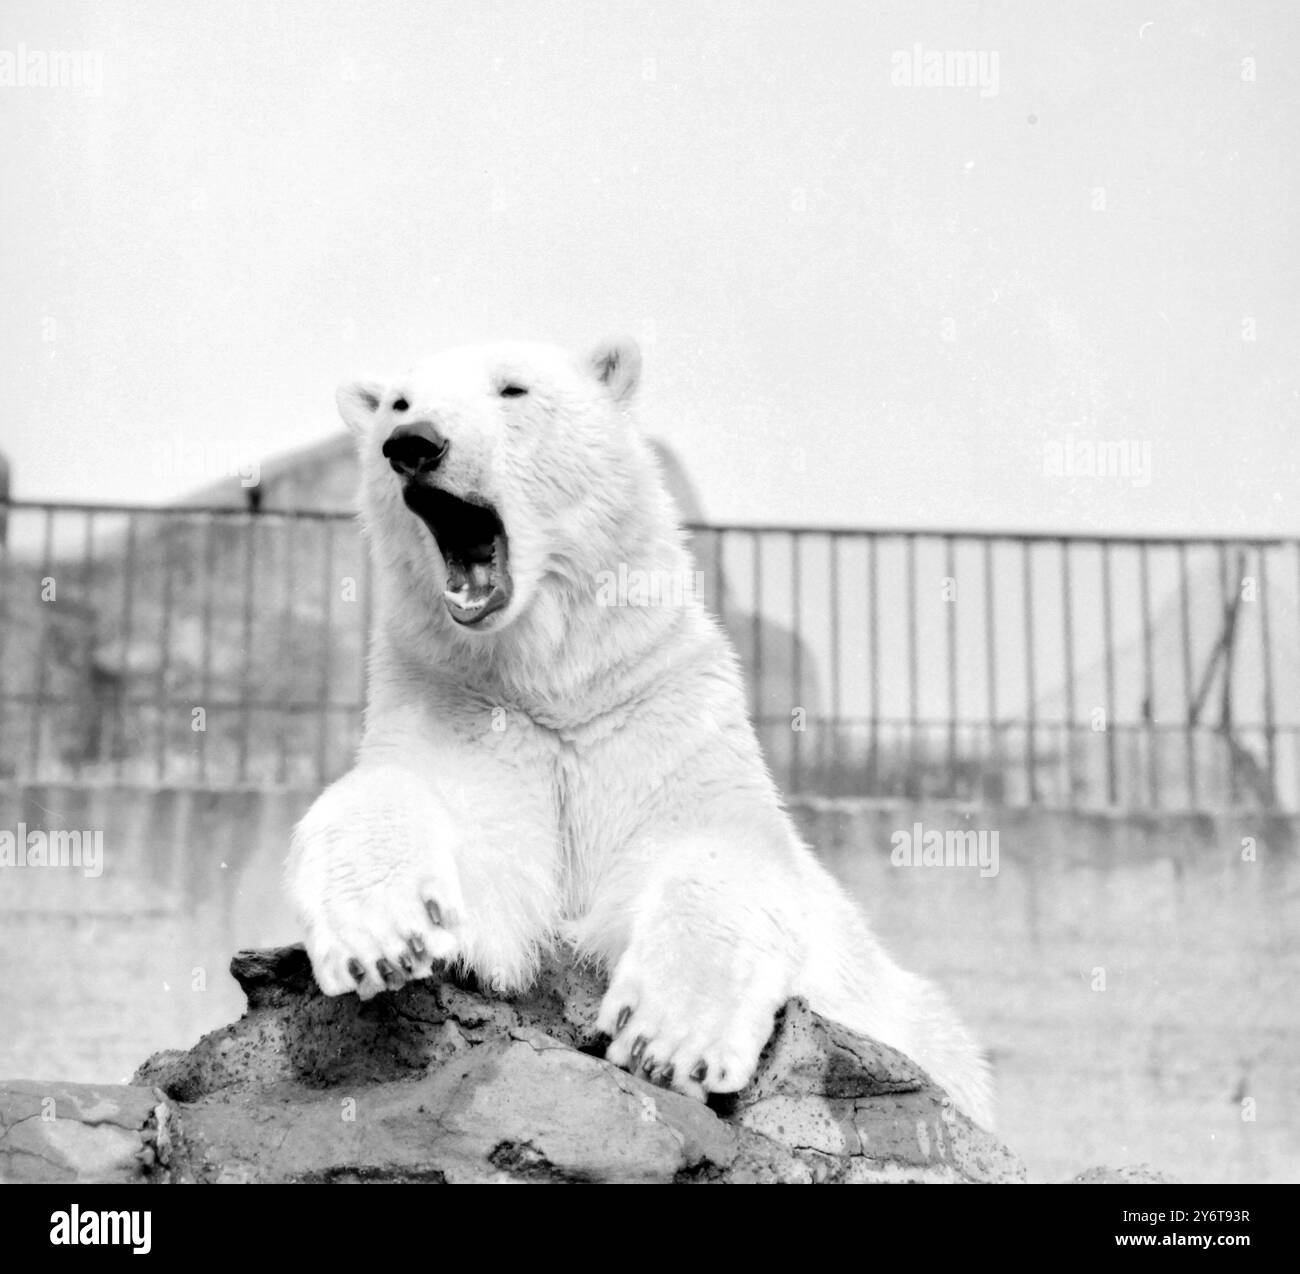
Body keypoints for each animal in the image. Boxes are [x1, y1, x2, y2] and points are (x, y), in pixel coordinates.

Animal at [285, 337, 993, 1127]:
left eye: (513, 389)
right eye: (398, 404)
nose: (412, 444)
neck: (553, 681)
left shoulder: (662, 720)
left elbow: (726, 853)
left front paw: (666, 1041)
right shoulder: (459, 704)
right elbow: (428, 815)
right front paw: (384, 937)